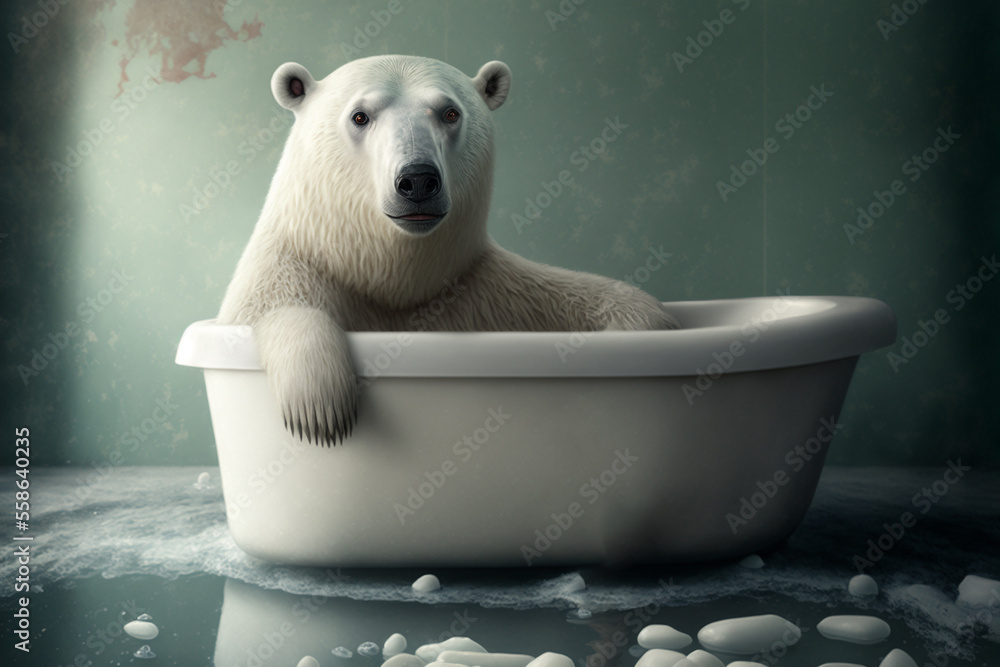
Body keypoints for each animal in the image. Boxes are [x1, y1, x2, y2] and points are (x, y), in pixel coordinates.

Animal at [218, 55, 679, 446]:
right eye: (360, 116)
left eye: (450, 112)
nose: (418, 180)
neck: (387, 274)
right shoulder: (294, 265)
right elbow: (280, 307)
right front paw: (319, 408)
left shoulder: (481, 290)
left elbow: (590, 301)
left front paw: (641, 330)